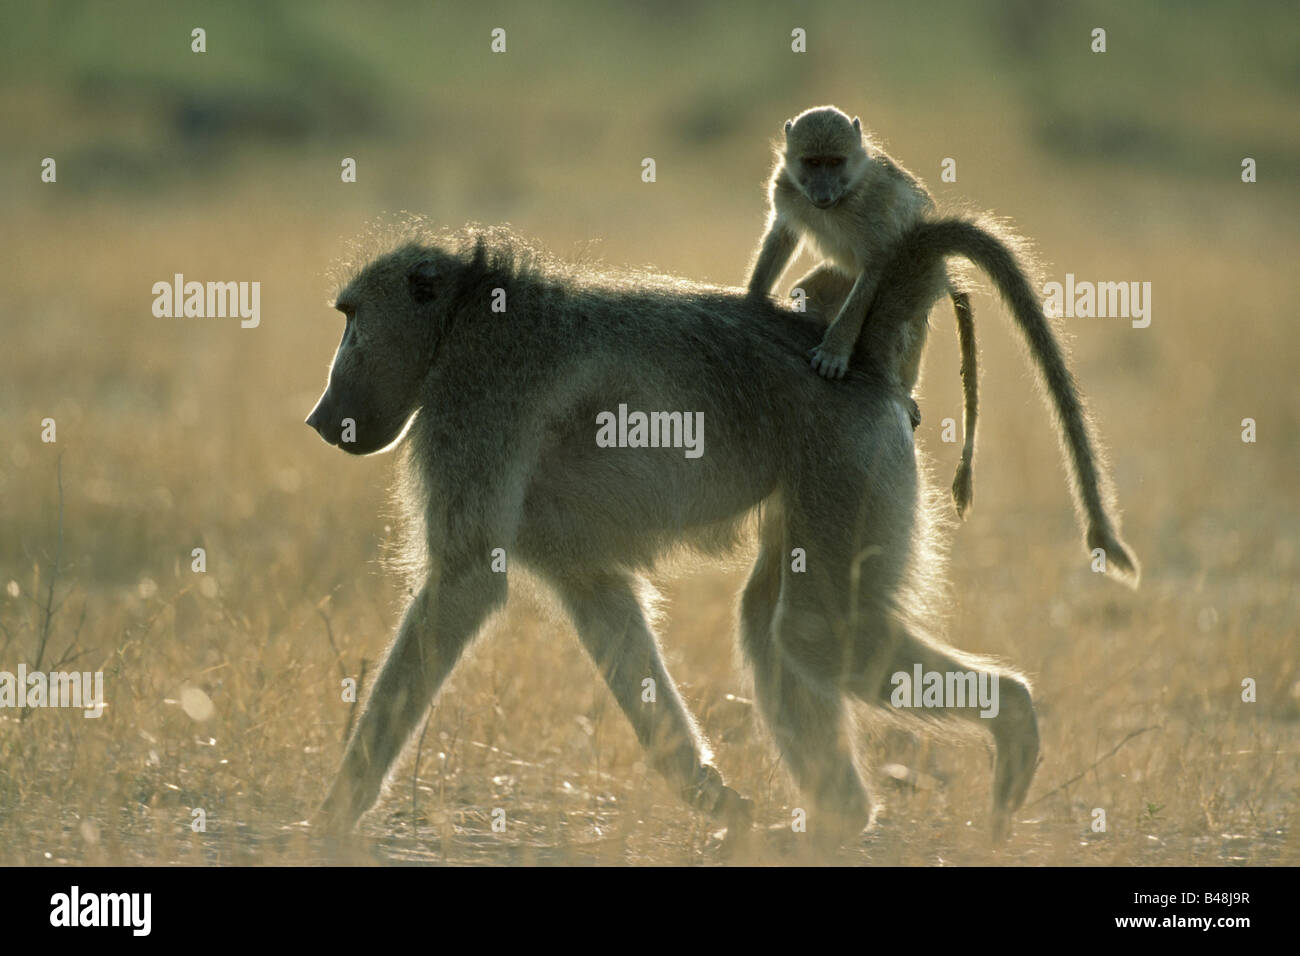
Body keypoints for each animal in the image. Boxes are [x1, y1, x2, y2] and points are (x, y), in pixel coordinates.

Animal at [304, 223, 1133, 852]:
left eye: (349, 320)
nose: (319, 417)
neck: (465, 315)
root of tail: (854, 356)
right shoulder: (575, 555)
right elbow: (605, 604)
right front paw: (707, 791)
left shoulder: (474, 399)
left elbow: (466, 578)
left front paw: (335, 815)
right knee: (776, 627)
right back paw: (835, 824)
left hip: (848, 459)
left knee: (812, 633)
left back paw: (1013, 723)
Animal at [747, 105, 978, 518]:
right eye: (813, 162)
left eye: (835, 162)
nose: (822, 193)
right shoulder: (787, 187)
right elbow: (783, 233)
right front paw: (753, 296)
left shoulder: (870, 209)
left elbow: (876, 262)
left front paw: (835, 353)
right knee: (811, 291)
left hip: (919, 272)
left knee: (909, 319)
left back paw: (901, 390)